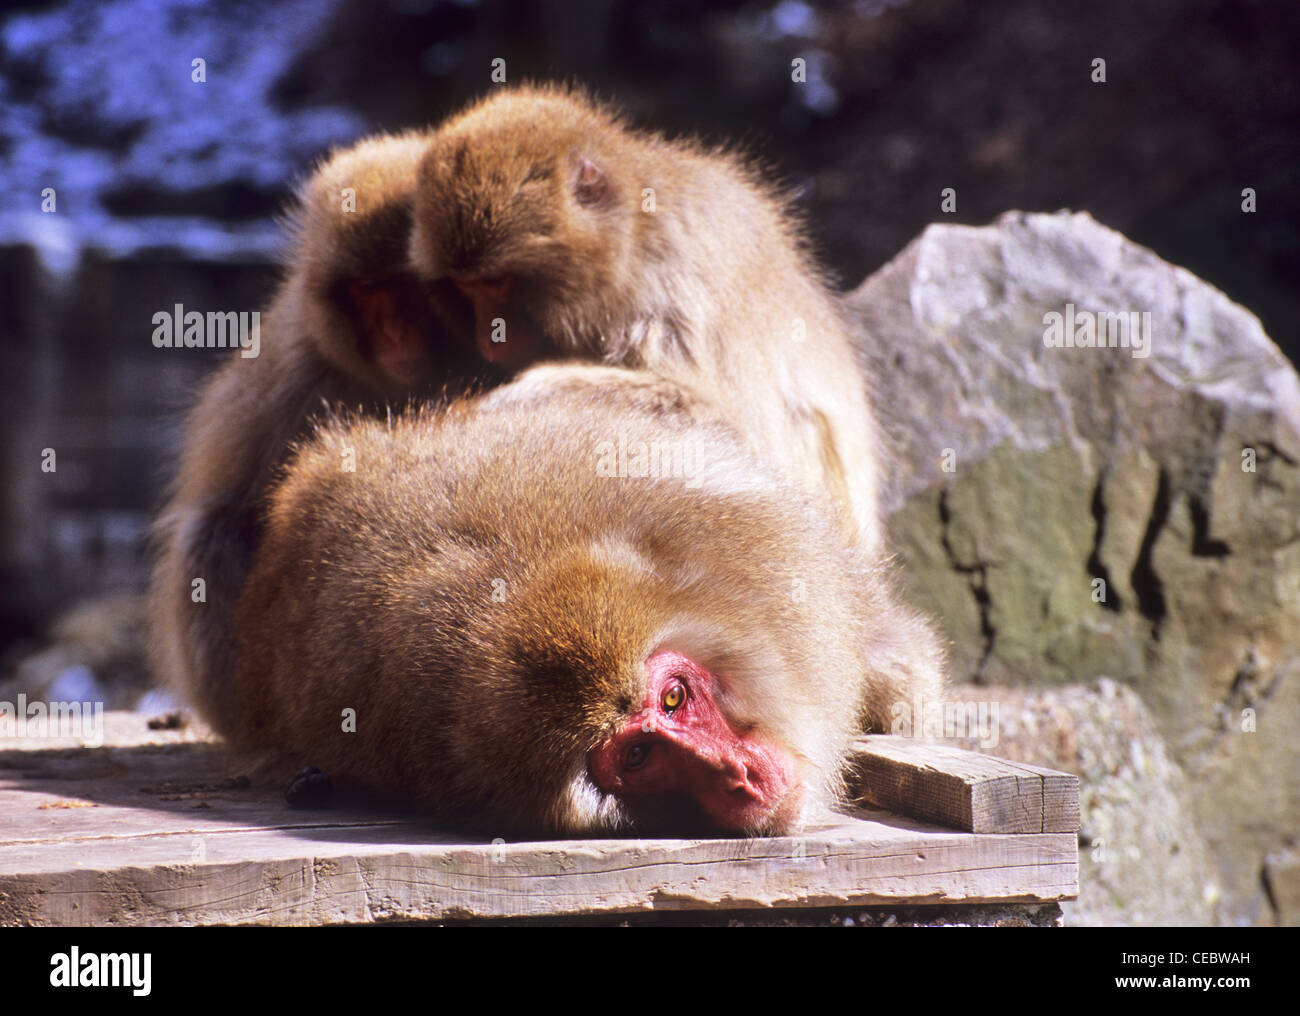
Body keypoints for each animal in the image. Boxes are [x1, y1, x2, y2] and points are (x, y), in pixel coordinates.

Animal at [409, 83, 882, 553]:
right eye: (464, 287)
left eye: (498, 282)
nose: (490, 341)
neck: (635, 244)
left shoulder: (682, 283)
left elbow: (743, 432)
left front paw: (522, 393)